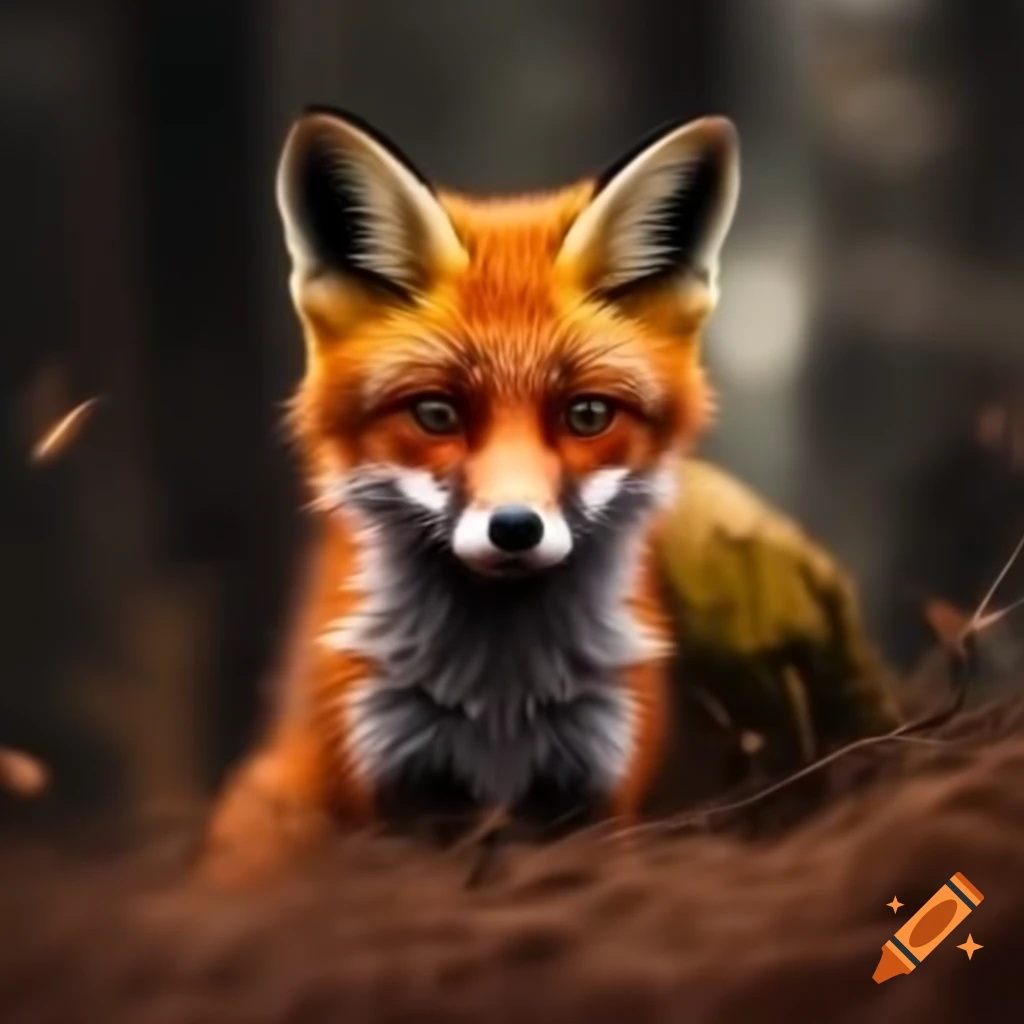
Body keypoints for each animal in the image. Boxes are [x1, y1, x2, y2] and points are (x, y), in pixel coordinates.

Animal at [199, 106, 741, 885]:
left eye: (587, 416)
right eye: (436, 414)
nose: (514, 528)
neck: (499, 698)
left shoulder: (599, 783)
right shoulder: (388, 779)